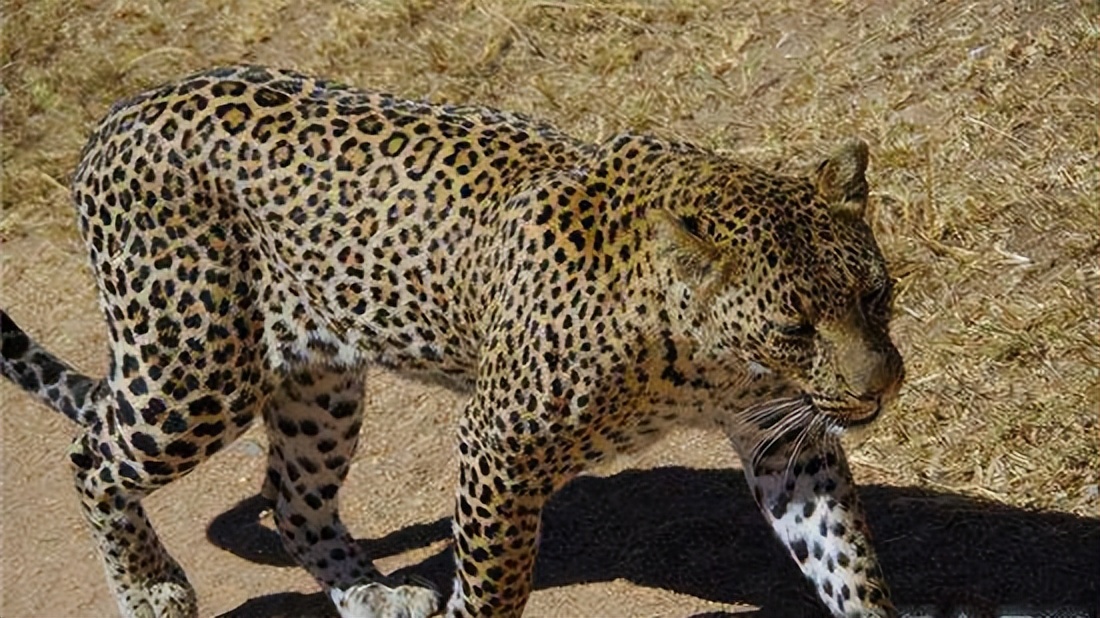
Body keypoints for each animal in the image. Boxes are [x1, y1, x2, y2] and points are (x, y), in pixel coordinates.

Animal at [0, 64, 904, 618]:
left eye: (877, 294)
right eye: (794, 328)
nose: (881, 386)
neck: (710, 364)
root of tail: (115, 117)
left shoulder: (783, 438)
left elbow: (844, 557)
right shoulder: (497, 442)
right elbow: (497, 578)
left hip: (319, 385)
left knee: (291, 495)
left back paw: (369, 595)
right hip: (192, 369)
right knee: (92, 456)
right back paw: (151, 592)